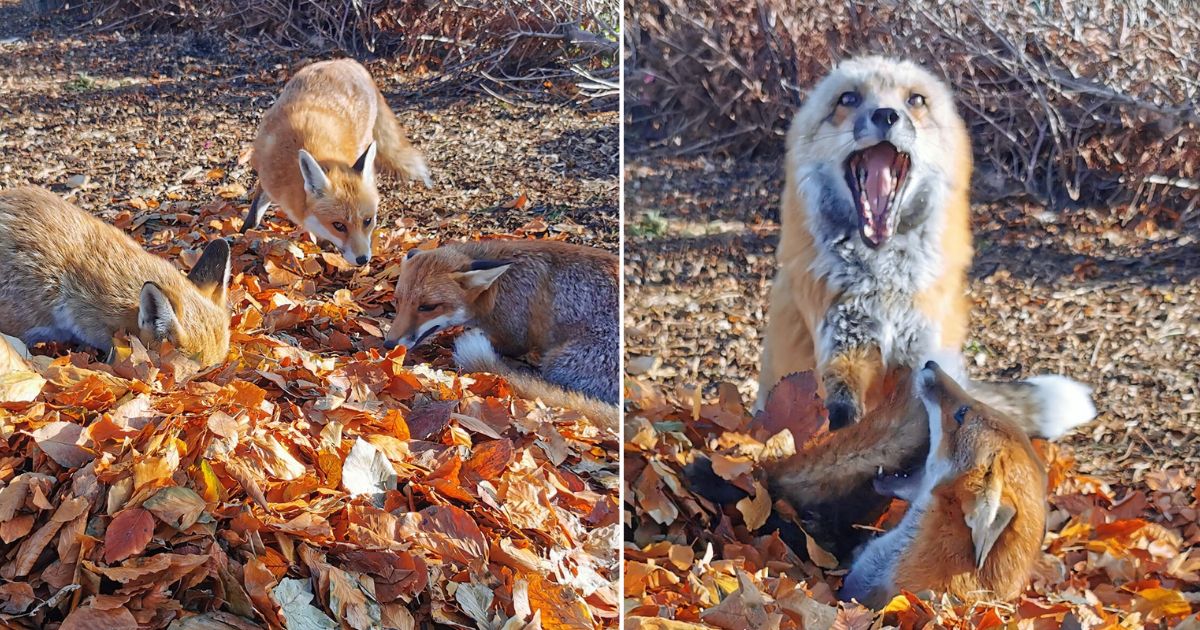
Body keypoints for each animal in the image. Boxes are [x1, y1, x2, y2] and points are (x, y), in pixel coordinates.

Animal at [243, 58, 432, 266]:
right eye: (338, 225)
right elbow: (253, 218)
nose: (363, 259)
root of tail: (348, 61)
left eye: (367, 221)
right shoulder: (266, 178)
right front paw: (241, 237)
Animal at [383, 240, 619, 429]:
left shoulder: (515, 336)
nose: (389, 344)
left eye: (428, 307)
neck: (498, 289)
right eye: (397, 301)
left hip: (557, 362)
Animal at [757, 56, 974, 430]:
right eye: (848, 99)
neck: (882, 289)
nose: (886, 115)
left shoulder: (920, 354)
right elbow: (842, 410)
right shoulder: (840, 346)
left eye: (915, 100)